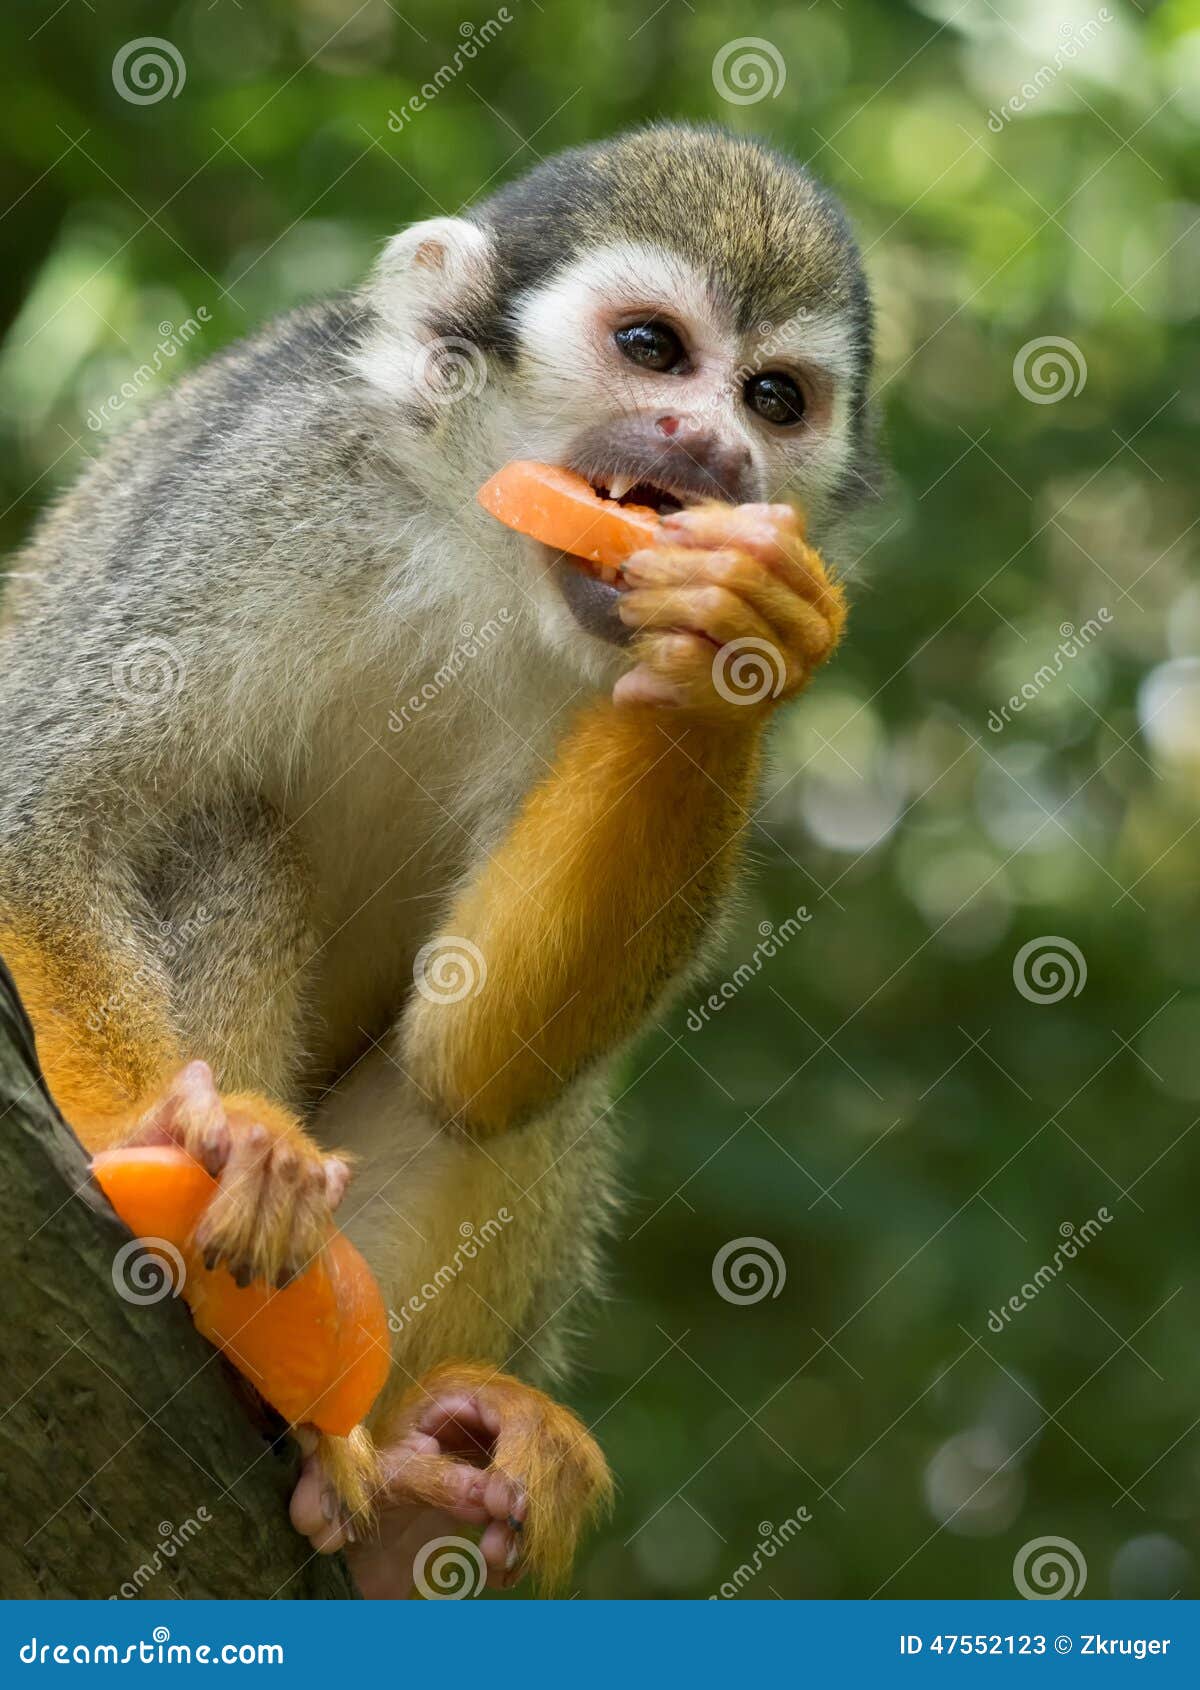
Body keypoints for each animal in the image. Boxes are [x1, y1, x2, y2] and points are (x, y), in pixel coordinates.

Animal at [0, 123, 879, 1597]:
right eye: (653, 348)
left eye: (775, 397)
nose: (711, 441)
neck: (480, 543)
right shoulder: (273, 479)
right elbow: (42, 826)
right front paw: (190, 1144)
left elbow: (474, 1051)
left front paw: (737, 640)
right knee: (219, 830)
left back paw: (392, 1487)